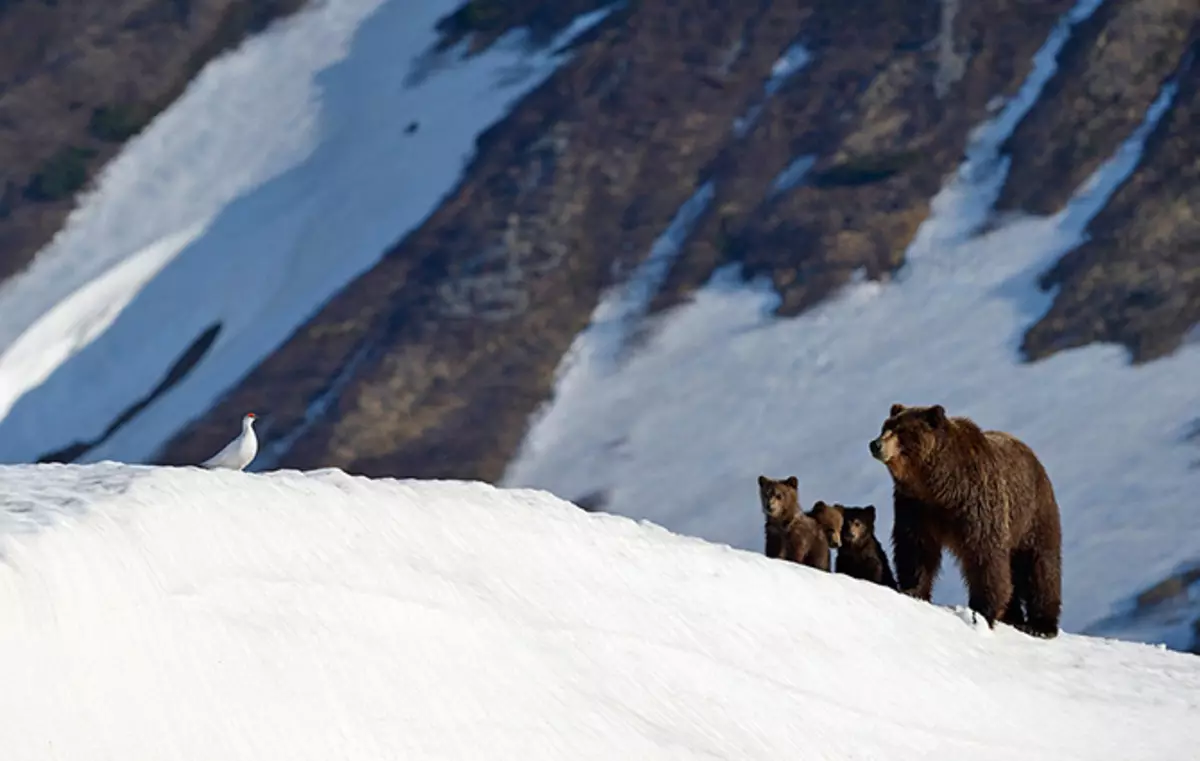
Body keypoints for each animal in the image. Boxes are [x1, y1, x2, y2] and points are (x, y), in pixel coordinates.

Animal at [873, 400, 1060, 638]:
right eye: (885, 426)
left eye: (902, 430)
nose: (875, 444)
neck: (941, 487)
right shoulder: (916, 506)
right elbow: (915, 547)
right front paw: (913, 589)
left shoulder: (977, 504)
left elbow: (985, 556)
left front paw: (981, 612)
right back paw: (1014, 616)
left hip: (1033, 515)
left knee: (1041, 565)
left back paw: (1041, 626)